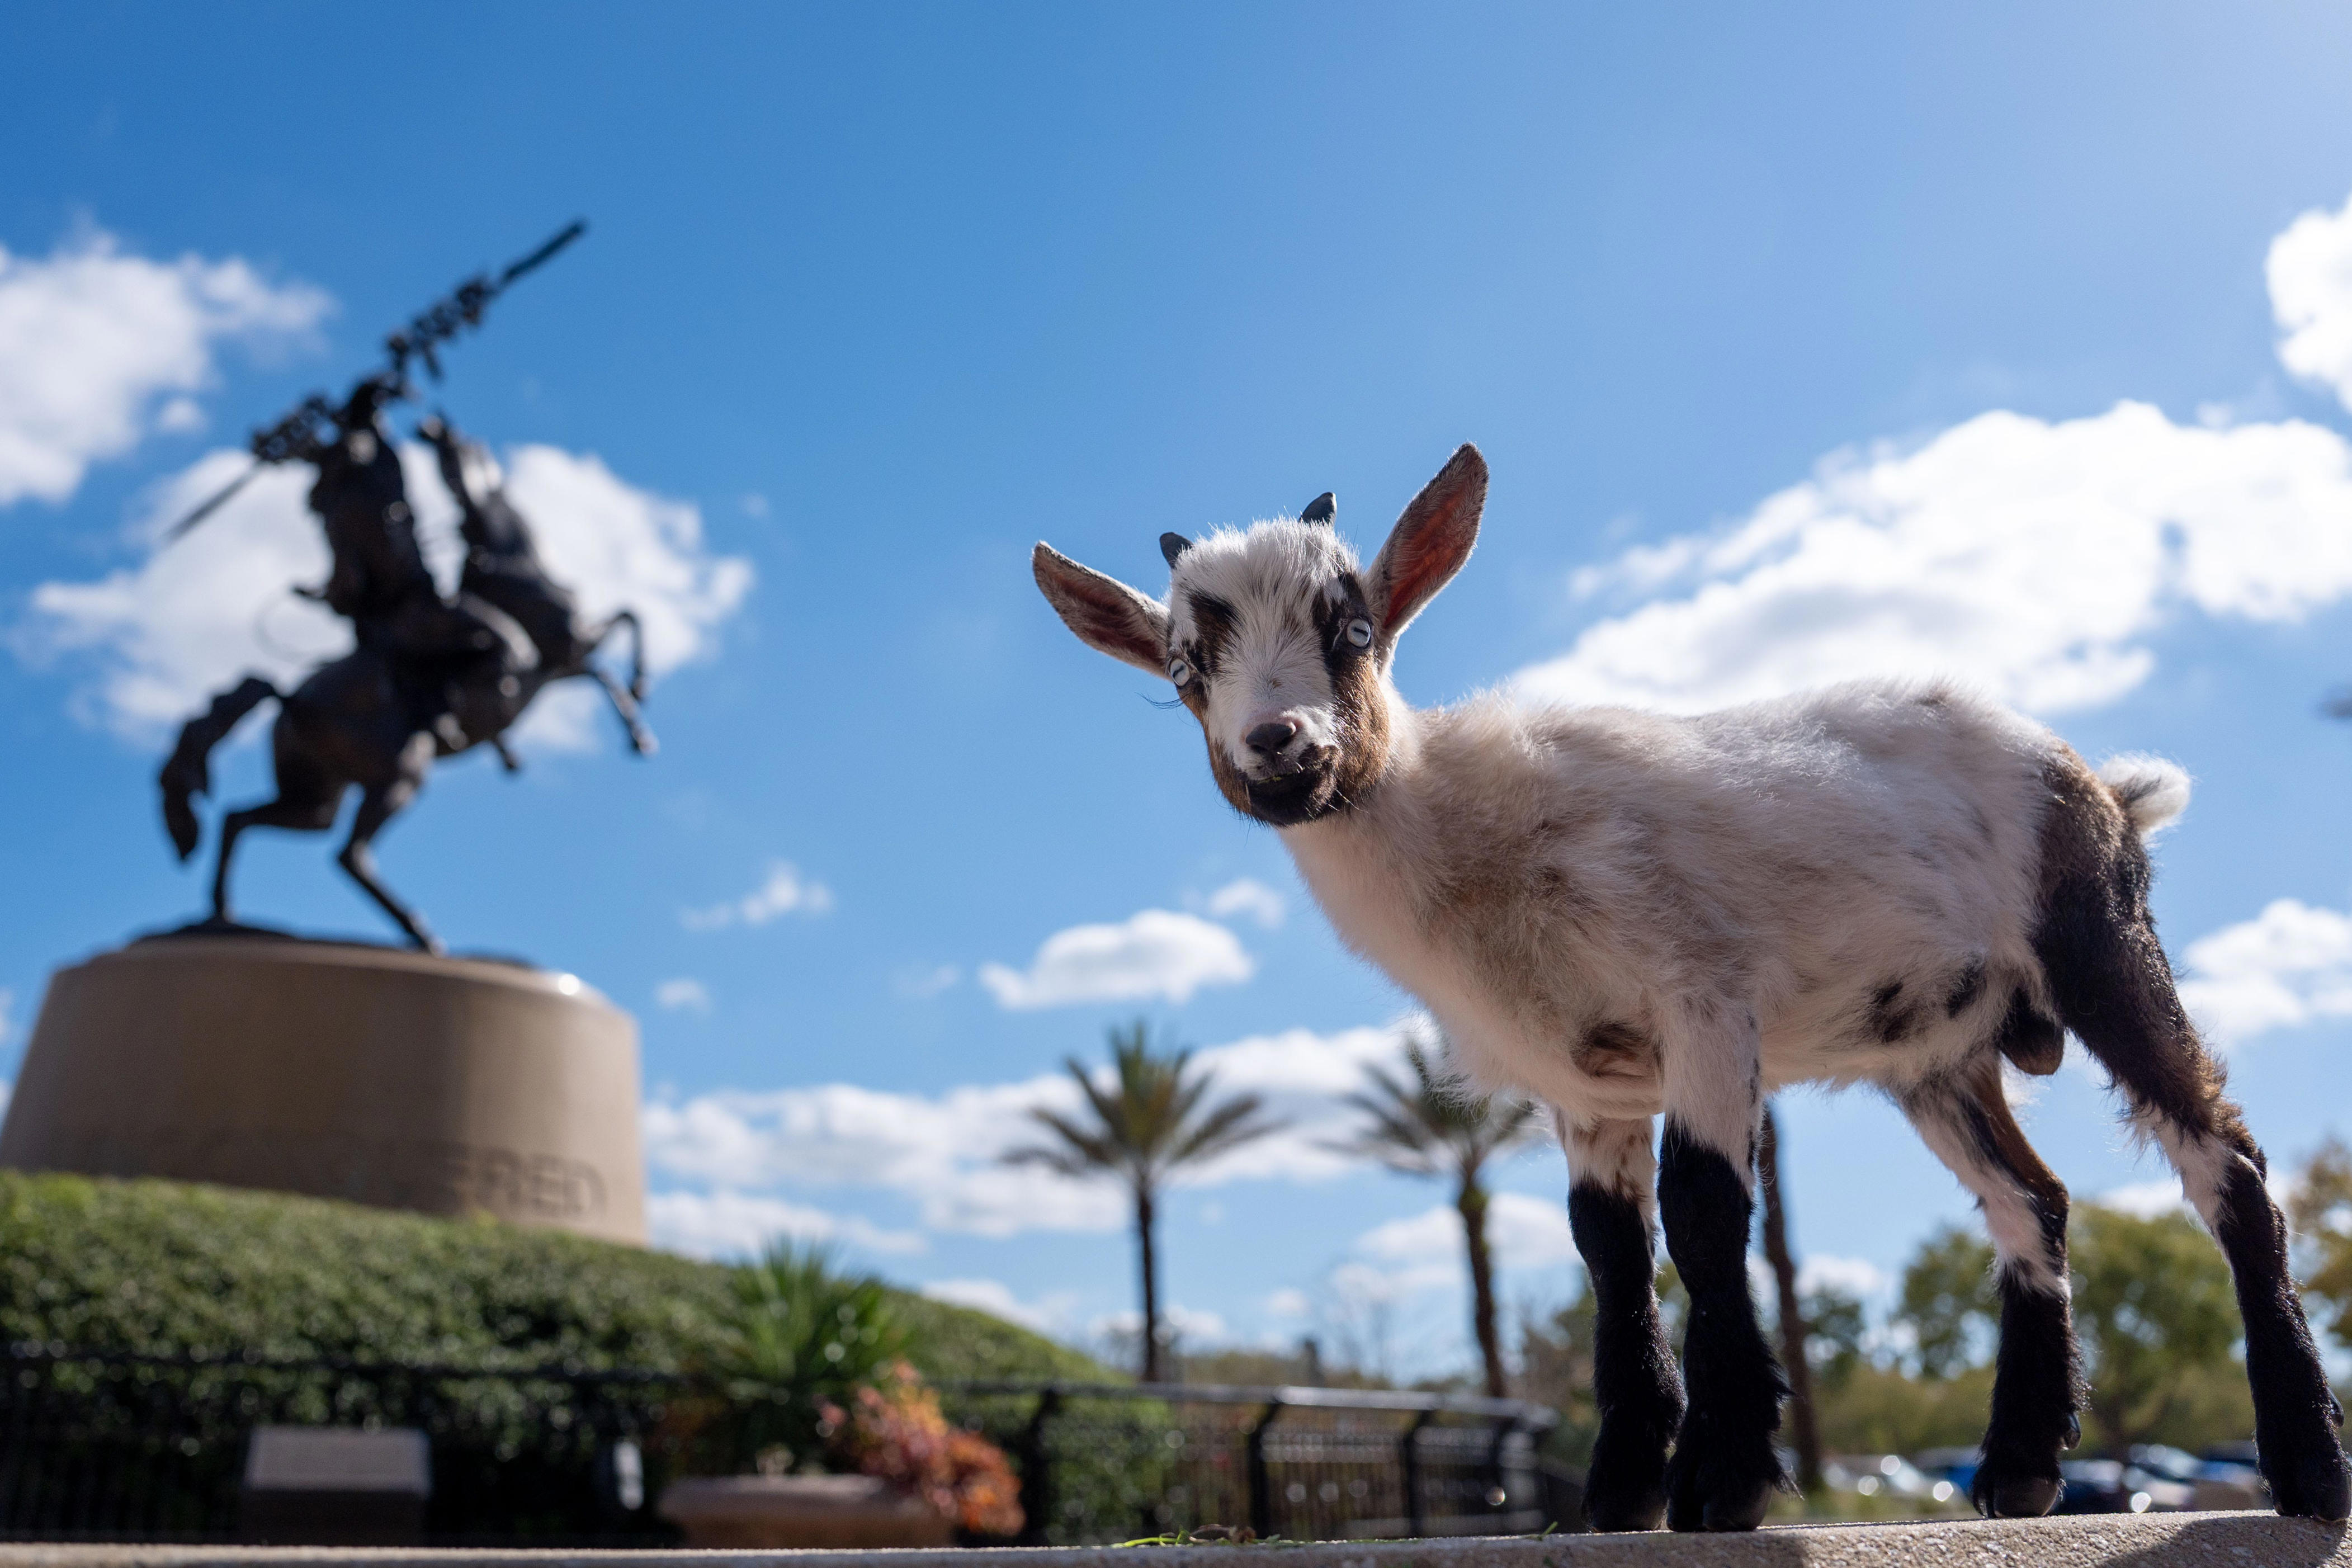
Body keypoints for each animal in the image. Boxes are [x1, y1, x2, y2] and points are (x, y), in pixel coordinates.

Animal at [1031, 444, 2350, 1531]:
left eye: (1353, 628)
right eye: (1185, 667)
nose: (1280, 746)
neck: (1469, 840)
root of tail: (2106, 788)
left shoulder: (1705, 1004)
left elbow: (1706, 1210)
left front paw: (1720, 1483)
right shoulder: (1585, 1083)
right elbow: (1611, 1251)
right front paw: (1621, 1491)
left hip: (2097, 939)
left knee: (2224, 1161)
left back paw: (2306, 1468)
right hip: (1933, 1048)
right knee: (2035, 1199)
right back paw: (2022, 1471)